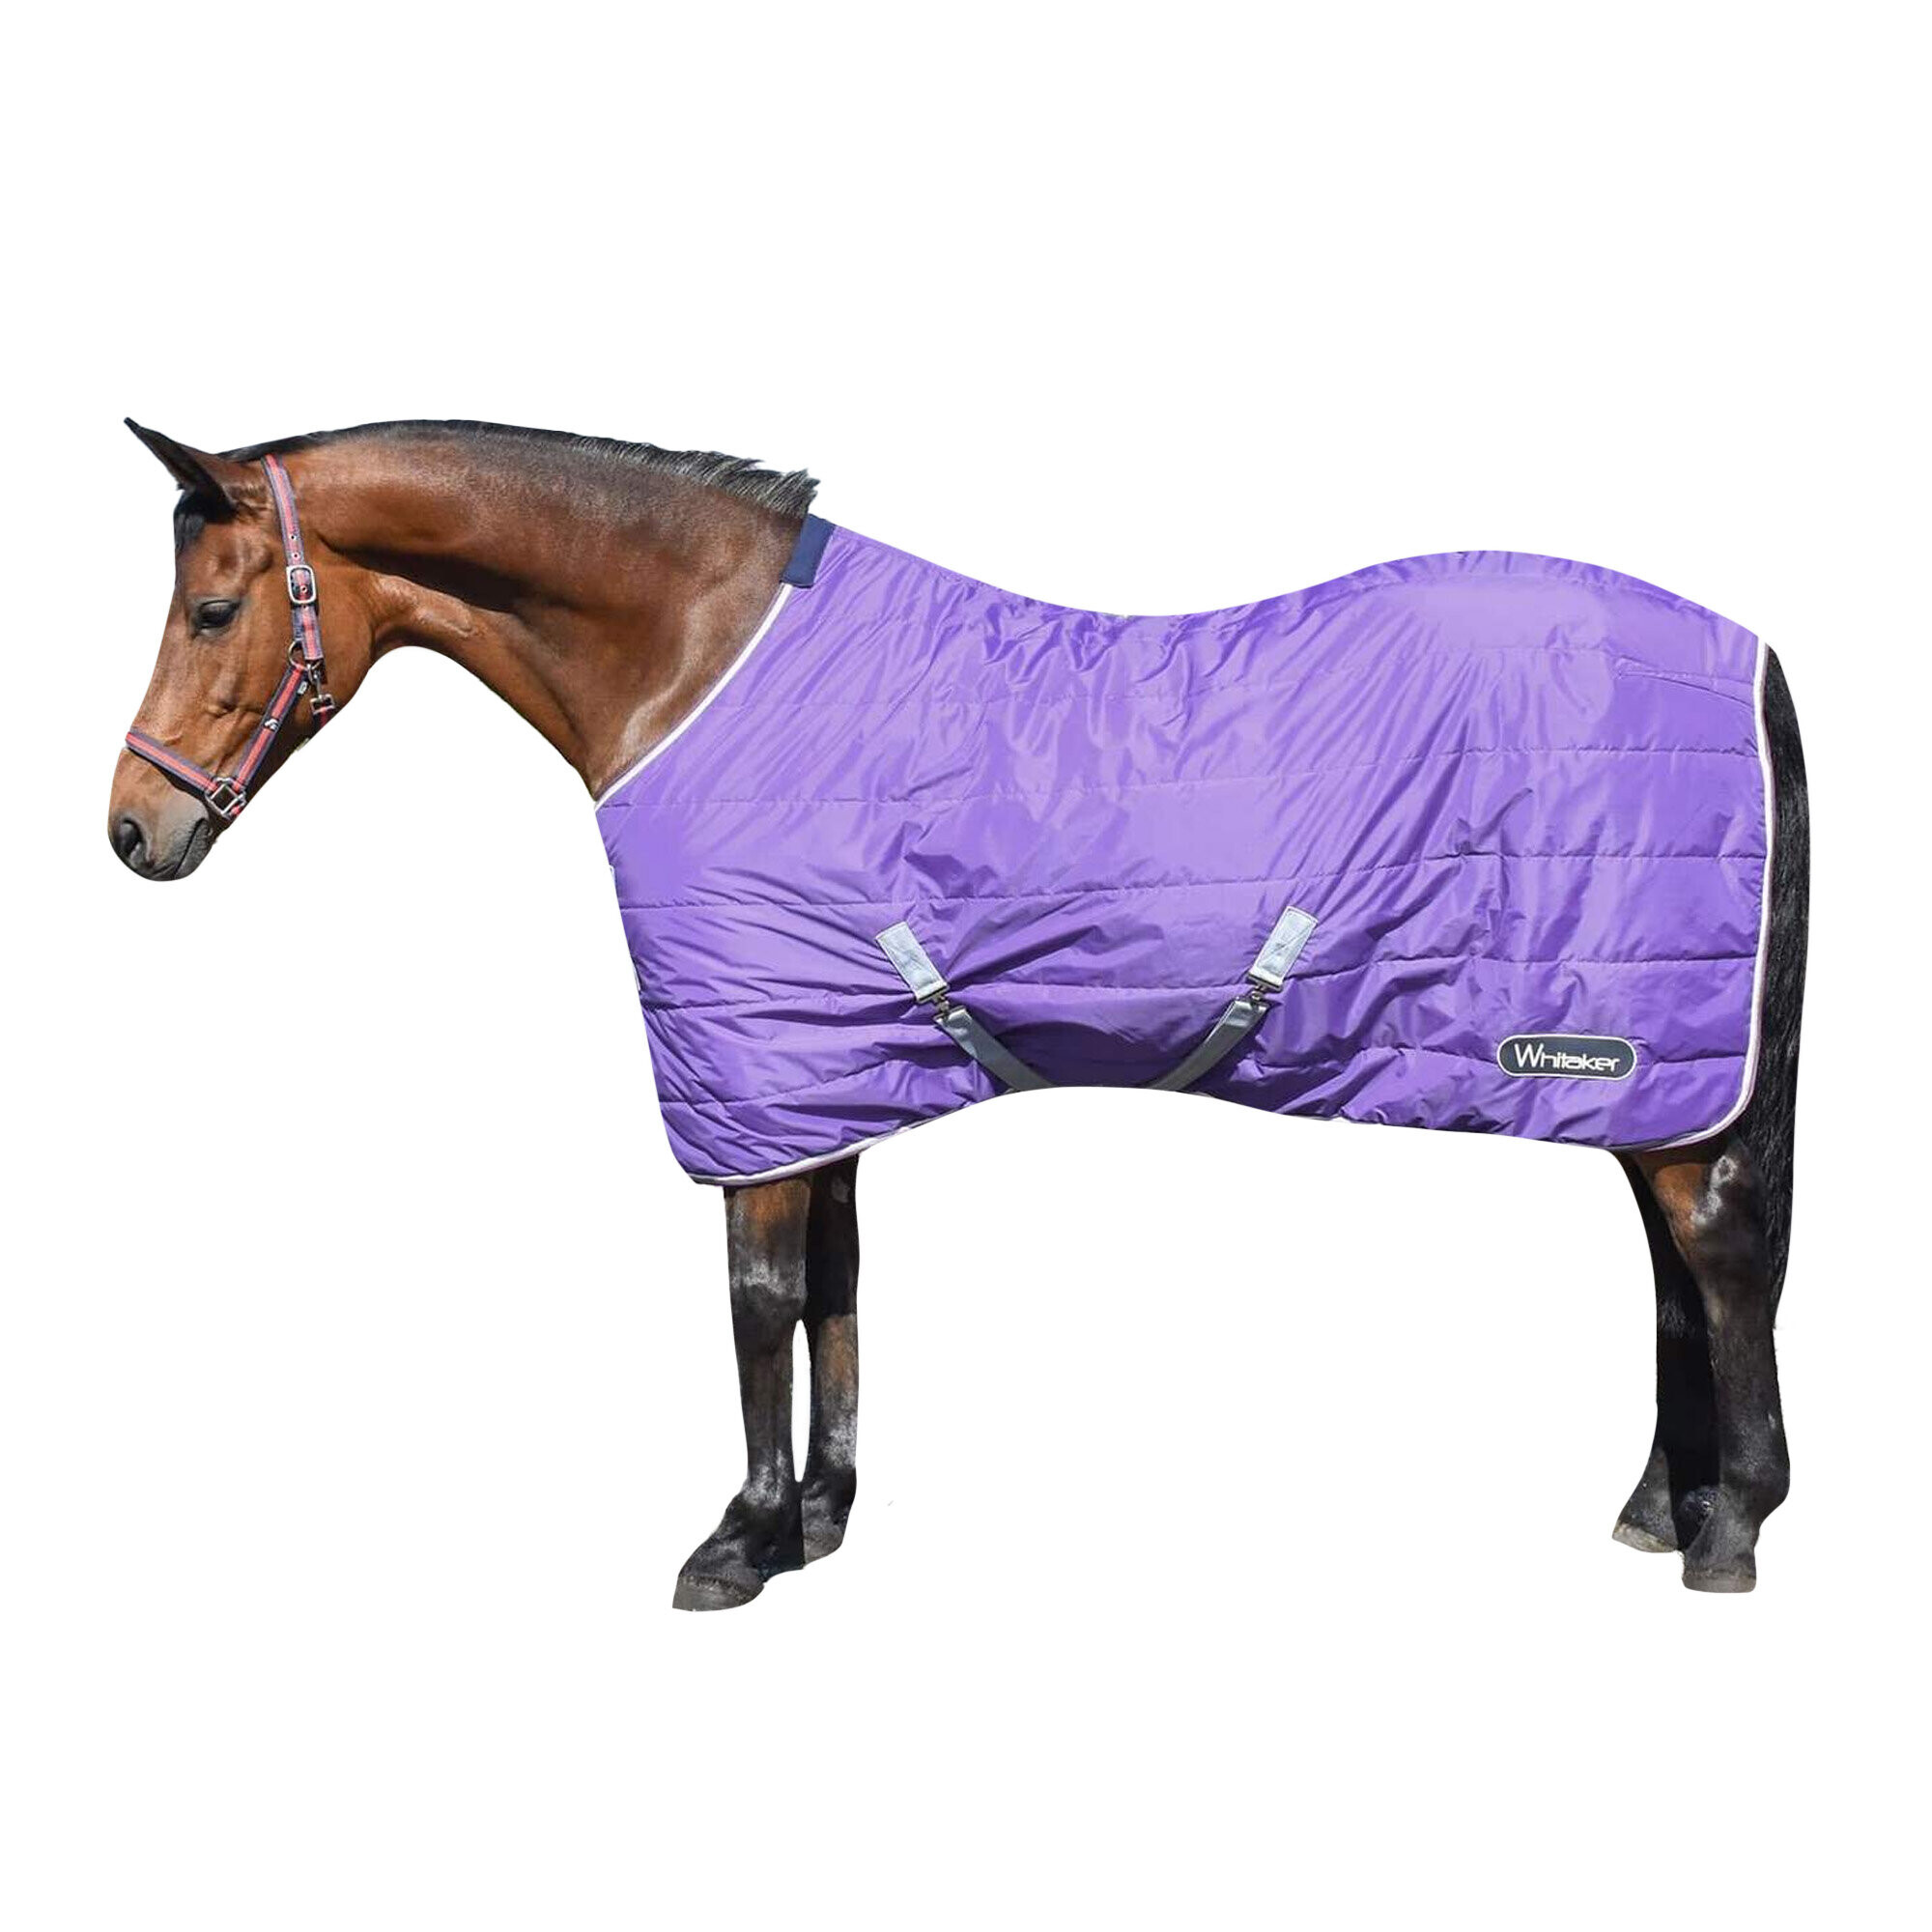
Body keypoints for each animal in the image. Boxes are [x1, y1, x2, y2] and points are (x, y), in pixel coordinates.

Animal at [108, 418, 1809, 1607]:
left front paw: (738, 1542)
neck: (700, 662)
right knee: (1673, 1265)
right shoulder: (818, 1070)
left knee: (1715, 1251)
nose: (134, 829)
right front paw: (823, 1515)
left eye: (210, 611)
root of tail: (1757, 657)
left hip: (1644, 1066)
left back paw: (1728, 1528)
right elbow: (839, 1288)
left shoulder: (759, 1071)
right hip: (1637, 1080)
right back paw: (1659, 1505)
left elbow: (760, 1302)